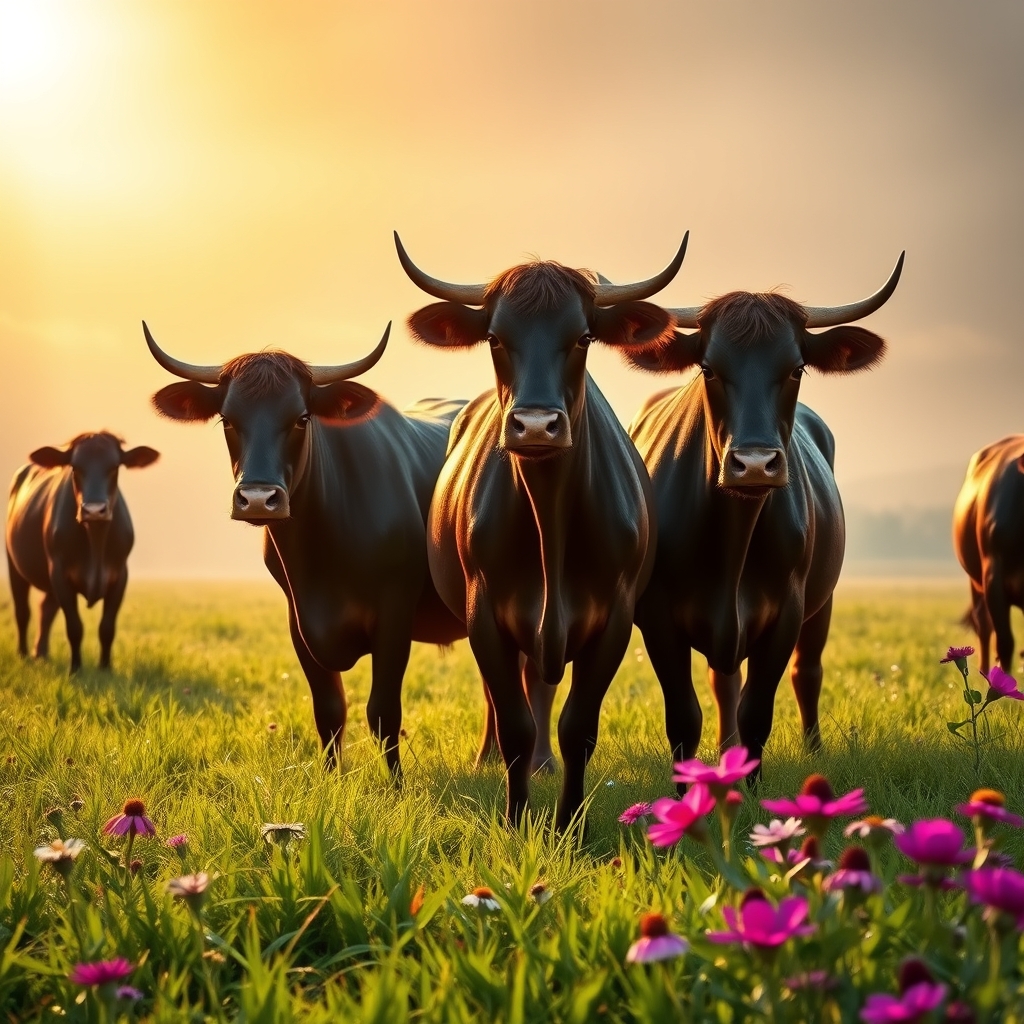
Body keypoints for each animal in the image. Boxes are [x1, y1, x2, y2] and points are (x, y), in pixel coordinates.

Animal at [7, 432, 160, 673]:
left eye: (114, 466)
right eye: (75, 467)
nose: (94, 510)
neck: (95, 542)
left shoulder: (119, 577)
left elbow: (107, 627)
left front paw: (105, 668)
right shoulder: (60, 574)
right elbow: (74, 627)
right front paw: (76, 669)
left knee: (45, 609)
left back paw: (41, 654)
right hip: (14, 565)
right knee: (23, 612)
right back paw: (23, 654)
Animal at [145, 322, 475, 775]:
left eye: (301, 418)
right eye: (227, 419)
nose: (258, 499)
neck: (322, 556)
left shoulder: (394, 614)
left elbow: (383, 712)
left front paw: (395, 785)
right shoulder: (297, 618)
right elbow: (330, 710)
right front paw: (330, 780)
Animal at [396, 231, 687, 828]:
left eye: (582, 337)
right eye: (494, 337)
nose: (535, 425)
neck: (548, 515)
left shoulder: (615, 620)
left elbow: (577, 727)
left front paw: (570, 822)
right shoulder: (485, 614)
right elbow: (513, 722)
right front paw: (515, 821)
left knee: (542, 688)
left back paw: (544, 764)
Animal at [619, 254, 903, 774]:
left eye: (796, 368)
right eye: (708, 368)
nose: (754, 463)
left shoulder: (785, 613)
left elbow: (757, 714)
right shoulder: (658, 619)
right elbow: (684, 718)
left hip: (821, 604)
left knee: (806, 672)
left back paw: (811, 750)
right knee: (725, 682)